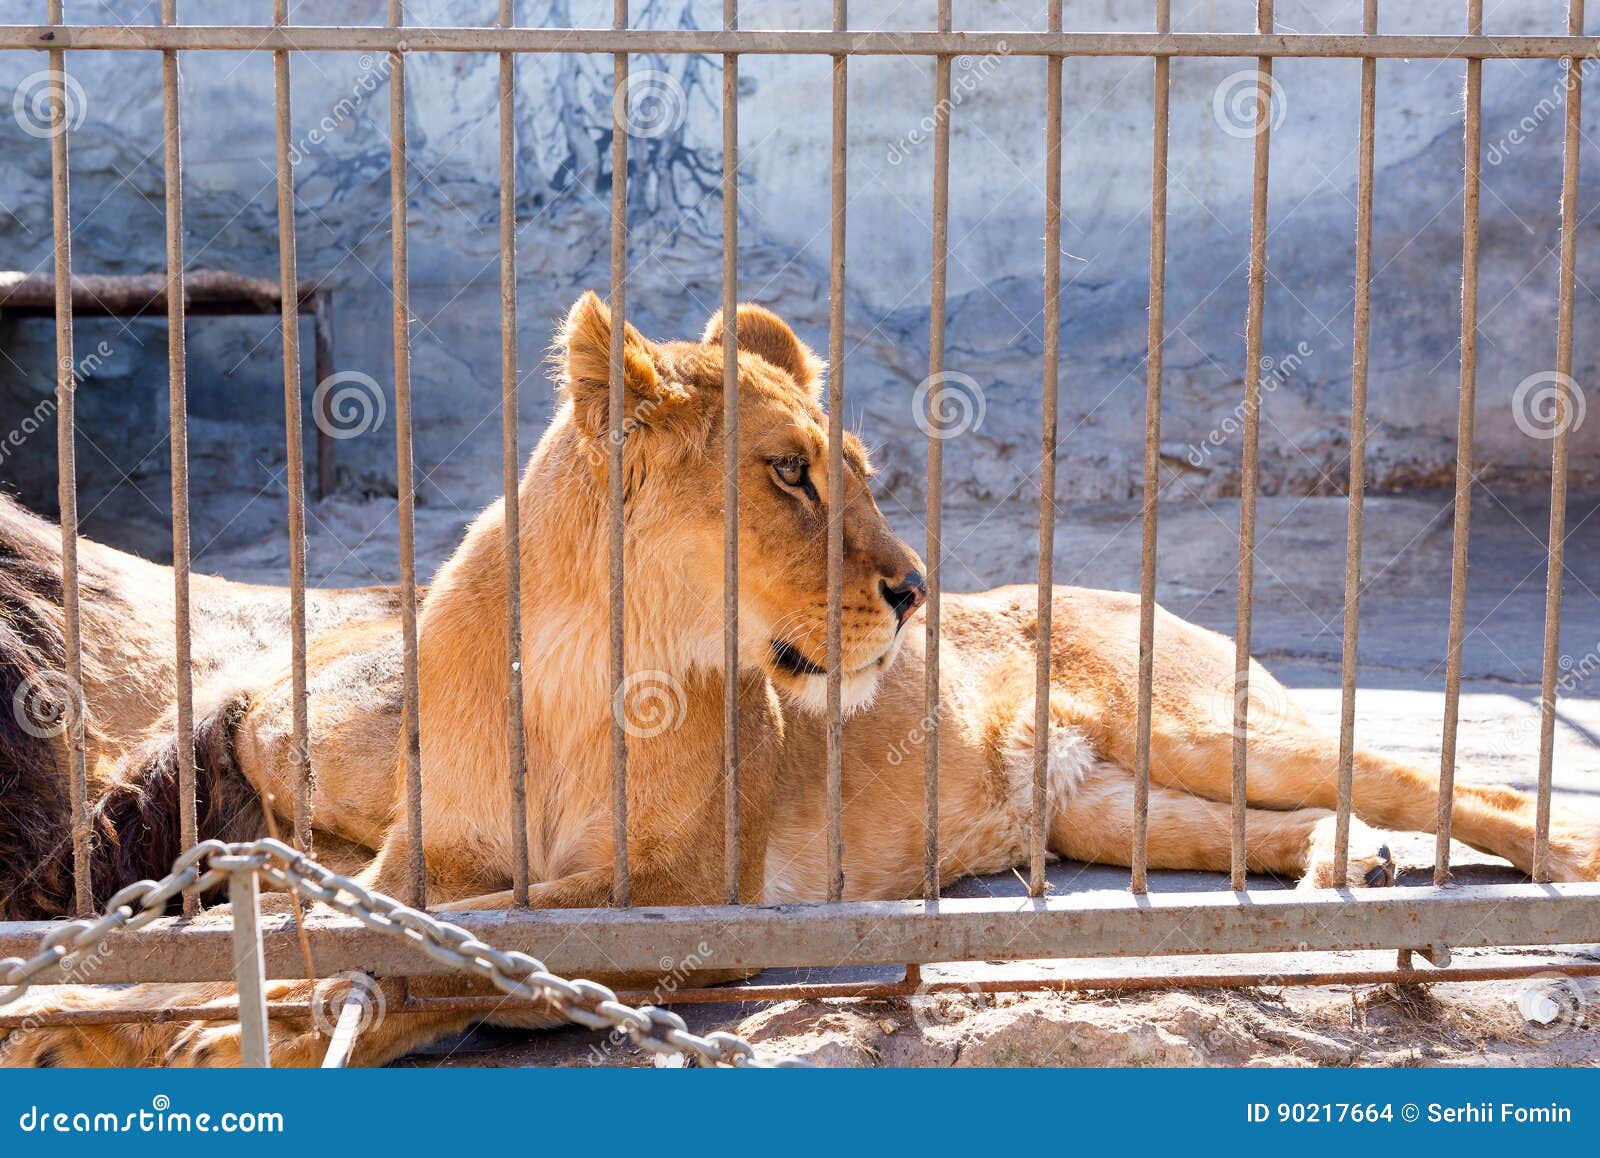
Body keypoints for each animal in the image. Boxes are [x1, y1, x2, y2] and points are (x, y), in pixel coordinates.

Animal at [2, 292, 1596, 1067]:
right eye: (788, 473)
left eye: (864, 475)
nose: (915, 590)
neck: (578, 662)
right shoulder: (420, 851)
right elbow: (342, 921)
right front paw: (106, 1010)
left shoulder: (686, 903)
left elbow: (438, 954)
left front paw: (217, 1026)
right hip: (1112, 807)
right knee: (1282, 829)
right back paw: (1346, 868)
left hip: (1205, 723)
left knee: (1435, 776)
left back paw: (1549, 855)